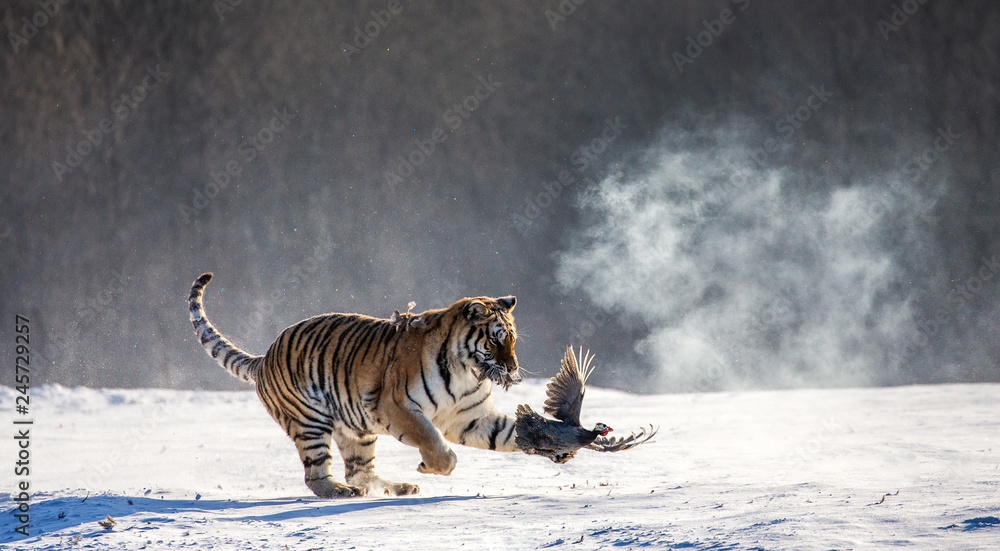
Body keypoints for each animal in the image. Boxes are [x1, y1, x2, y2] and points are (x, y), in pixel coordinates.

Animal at [187, 272, 523, 498]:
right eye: (495, 339)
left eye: (512, 339)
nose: (513, 368)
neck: (467, 370)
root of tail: (264, 357)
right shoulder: (396, 405)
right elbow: (429, 436)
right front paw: (435, 465)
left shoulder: (470, 416)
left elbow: (508, 433)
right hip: (310, 421)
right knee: (317, 475)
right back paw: (340, 491)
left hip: (357, 431)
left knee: (359, 471)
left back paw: (397, 487)